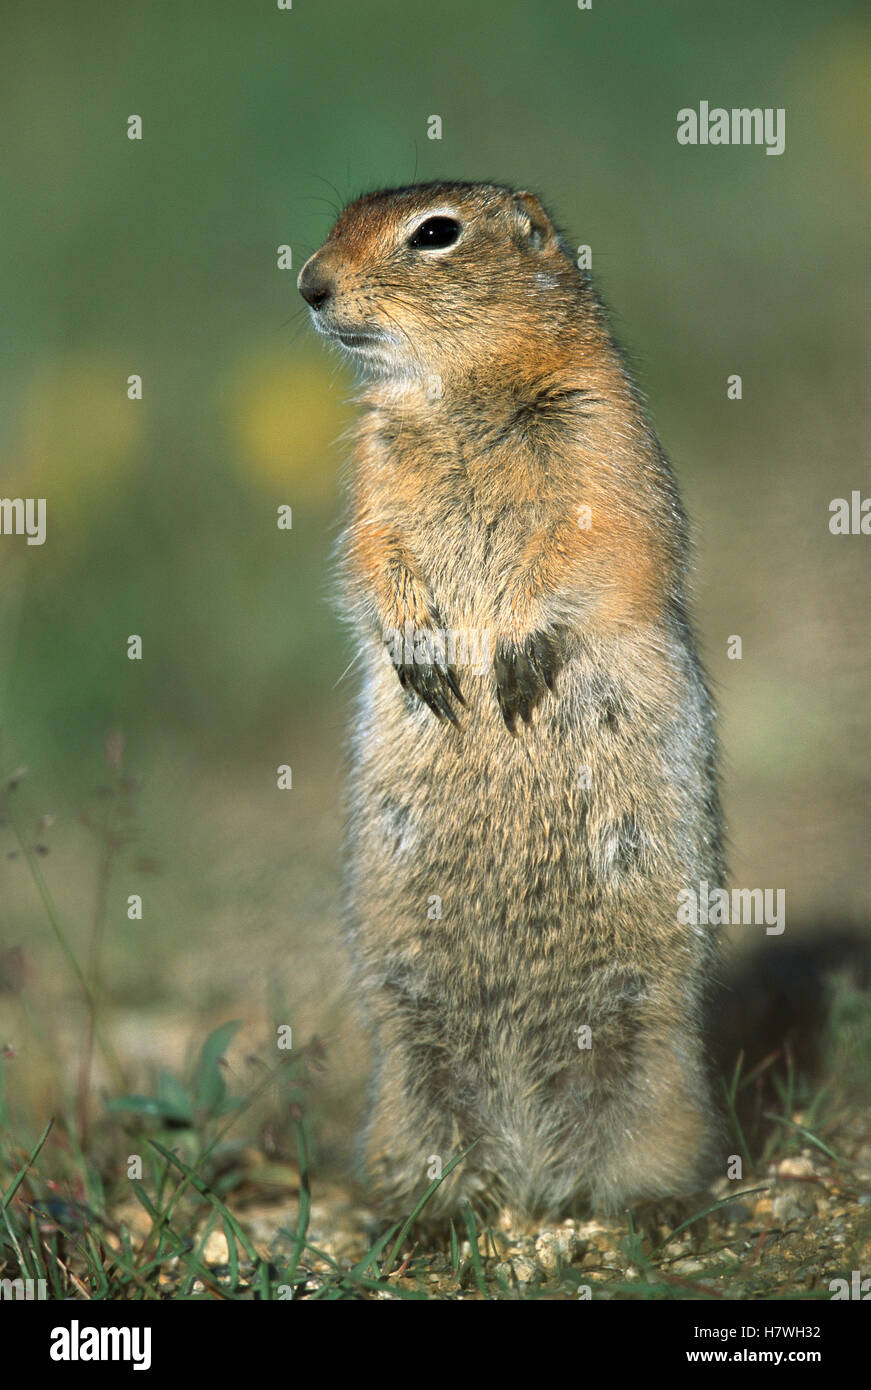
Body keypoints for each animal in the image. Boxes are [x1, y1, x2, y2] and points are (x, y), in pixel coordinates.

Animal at [298, 181, 726, 1223]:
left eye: (435, 234)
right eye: (338, 216)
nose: (308, 285)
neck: (452, 388)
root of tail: (533, 1174)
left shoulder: (596, 431)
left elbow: (600, 539)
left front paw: (517, 653)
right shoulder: (373, 467)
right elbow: (370, 551)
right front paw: (421, 651)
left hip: (651, 1045)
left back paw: (637, 1207)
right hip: (409, 1058)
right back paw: (433, 1214)